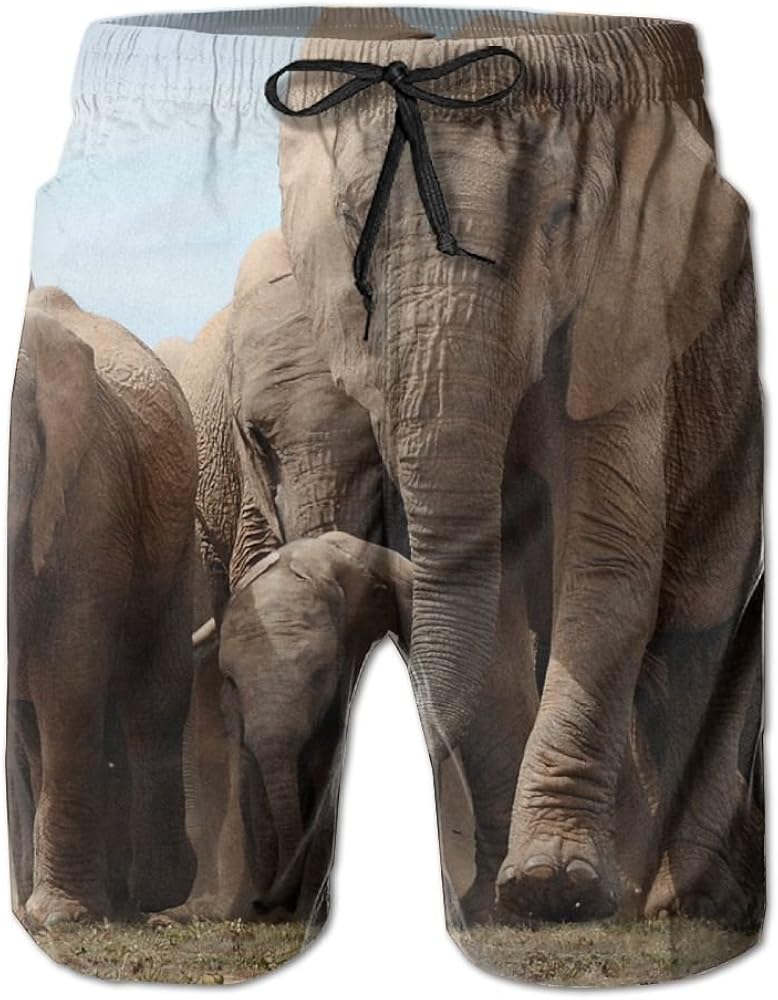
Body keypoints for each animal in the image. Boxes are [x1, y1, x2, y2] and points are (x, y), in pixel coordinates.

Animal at [7, 286, 198, 926]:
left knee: (152, 698)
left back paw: (152, 897)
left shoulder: (91, 492)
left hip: (174, 546)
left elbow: (67, 673)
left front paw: (61, 918)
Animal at [276, 56, 761, 925]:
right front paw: (526, 890)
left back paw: (675, 899)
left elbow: (605, 560)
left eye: (562, 218)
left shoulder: (626, 312)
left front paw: (552, 886)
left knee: (699, 642)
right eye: (352, 220)